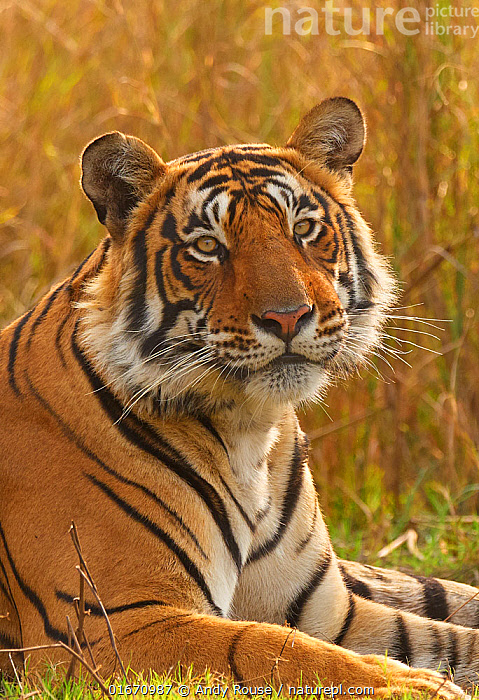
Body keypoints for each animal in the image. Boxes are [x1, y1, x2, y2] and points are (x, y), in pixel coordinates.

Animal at [1, 97, 478, 697]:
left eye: (304, 229)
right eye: (208, 246)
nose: (288, 317)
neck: (249, 430)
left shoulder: (325, 609)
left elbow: (437, 638)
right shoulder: (105, 625)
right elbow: (275, 650)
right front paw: (417, 685)